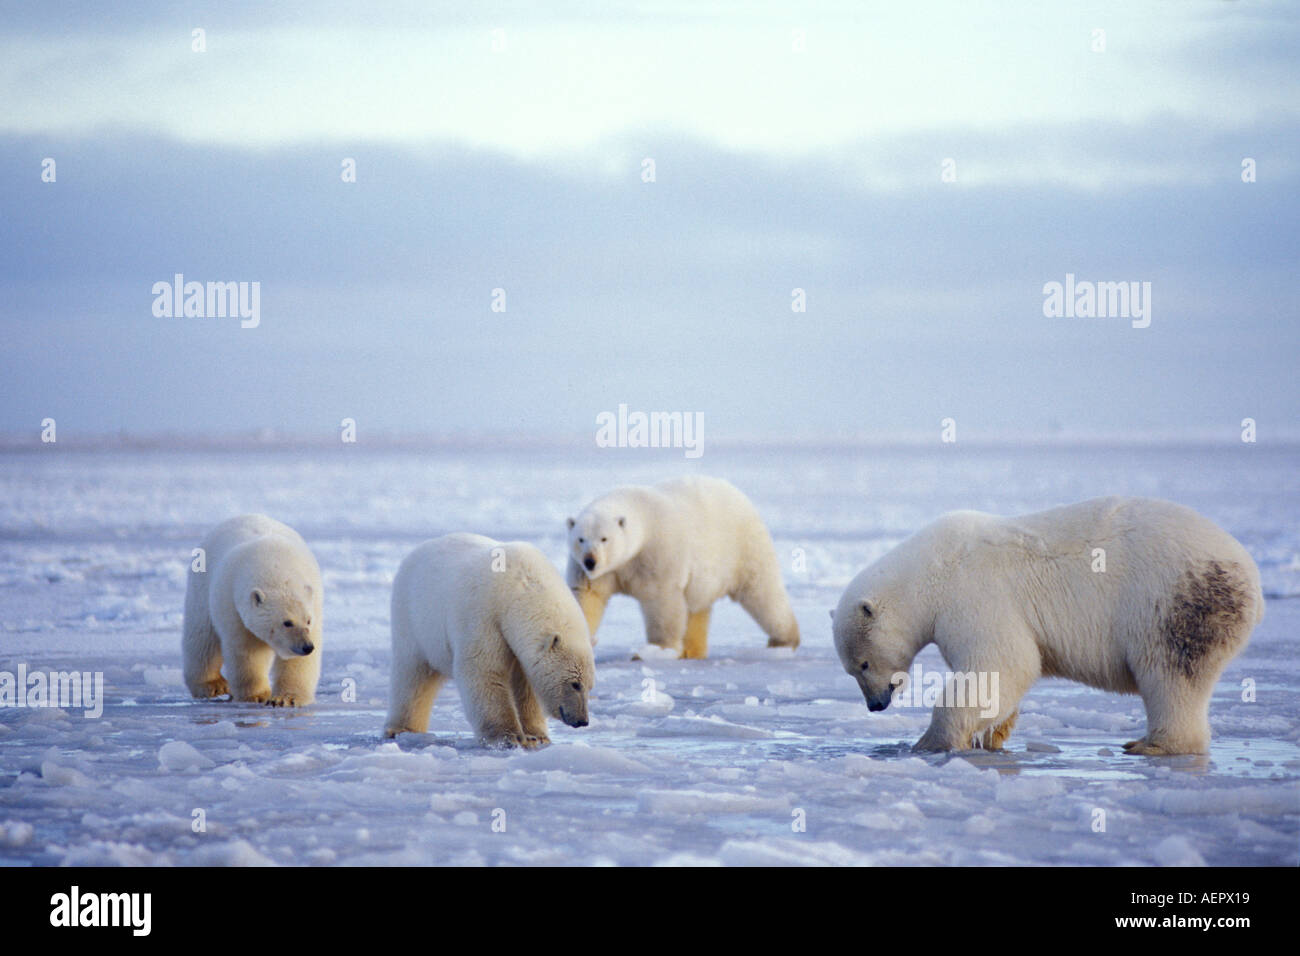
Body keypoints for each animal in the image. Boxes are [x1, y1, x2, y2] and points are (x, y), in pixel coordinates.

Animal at [183, 514, 323, 707]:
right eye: (287, 622)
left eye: (308, 620)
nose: (307, 647)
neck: (275, 565)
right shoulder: (233, 606)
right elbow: (247, 651)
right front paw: (257, 695)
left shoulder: (313, 601)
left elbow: (298, 663)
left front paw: (286, 699)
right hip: (201, 588)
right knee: (202, 637)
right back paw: (213, 685)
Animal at [384, 533, 595, 749]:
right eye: (575, 684)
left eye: (590, 686)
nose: (582, 720)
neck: (518, 587)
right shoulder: (485, 616)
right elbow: (484, 670)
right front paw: (508, 737)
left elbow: (525, 683)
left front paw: (536, 736)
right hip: (413, 621)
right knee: (412, 675)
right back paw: (401, 729)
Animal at [565, 476, 800, 659]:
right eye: (581, 539)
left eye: (604, 539)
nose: (590, 561)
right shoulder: (594, 571)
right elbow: (587, 596)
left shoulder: (657, 553)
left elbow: (662, 601)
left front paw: (656, 651)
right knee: (697, 607)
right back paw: (692, 651)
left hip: (744, 547)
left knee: (762, 593)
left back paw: (784, 641)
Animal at [832, 496, 1263, 756]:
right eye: (852, 670)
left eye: (863, 664)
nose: (875, 705)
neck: (929, 571)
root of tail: (1252, 580)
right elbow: (1002, 679)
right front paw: (994, 736)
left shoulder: (974, 594)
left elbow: (1004, 661)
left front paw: (930, 742)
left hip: (1175, 605)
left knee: (1171, 675)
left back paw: (1151, 745)